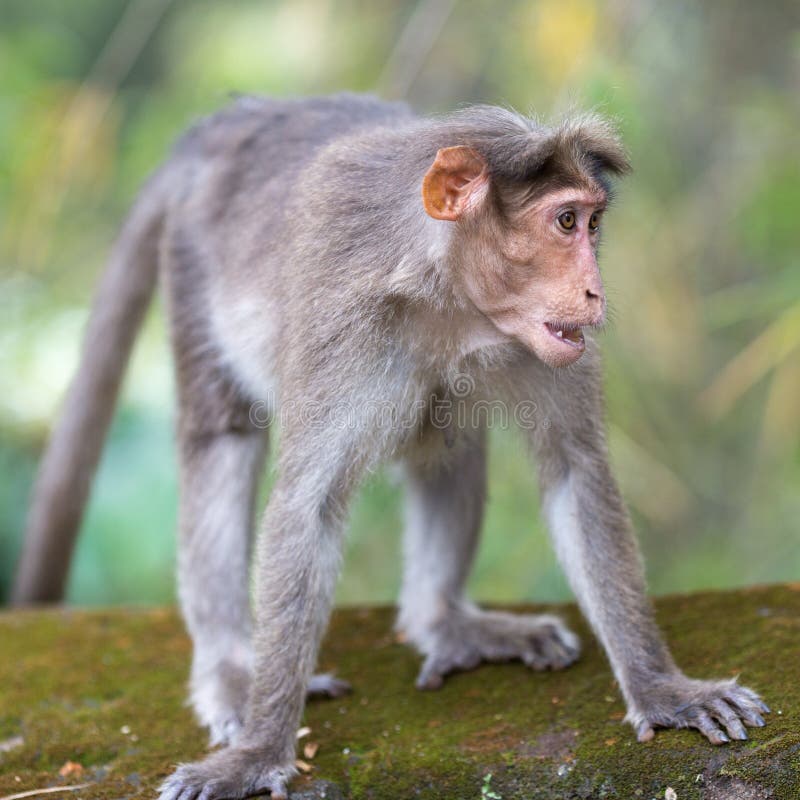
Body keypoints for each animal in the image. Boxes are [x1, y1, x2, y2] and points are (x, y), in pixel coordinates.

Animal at [12, 93, 769, 800]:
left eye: (593, 223)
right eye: (564, 222)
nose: (596, 292)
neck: (446, 298)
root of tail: (234, 119)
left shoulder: (546, 344)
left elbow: (574, 470)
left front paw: (662, 689)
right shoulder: (340, 322)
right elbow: (307, 504)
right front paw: (260, 753)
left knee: (449, 432)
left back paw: (444, 623)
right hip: (194, 262)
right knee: (220, 434)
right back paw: (231, 671)